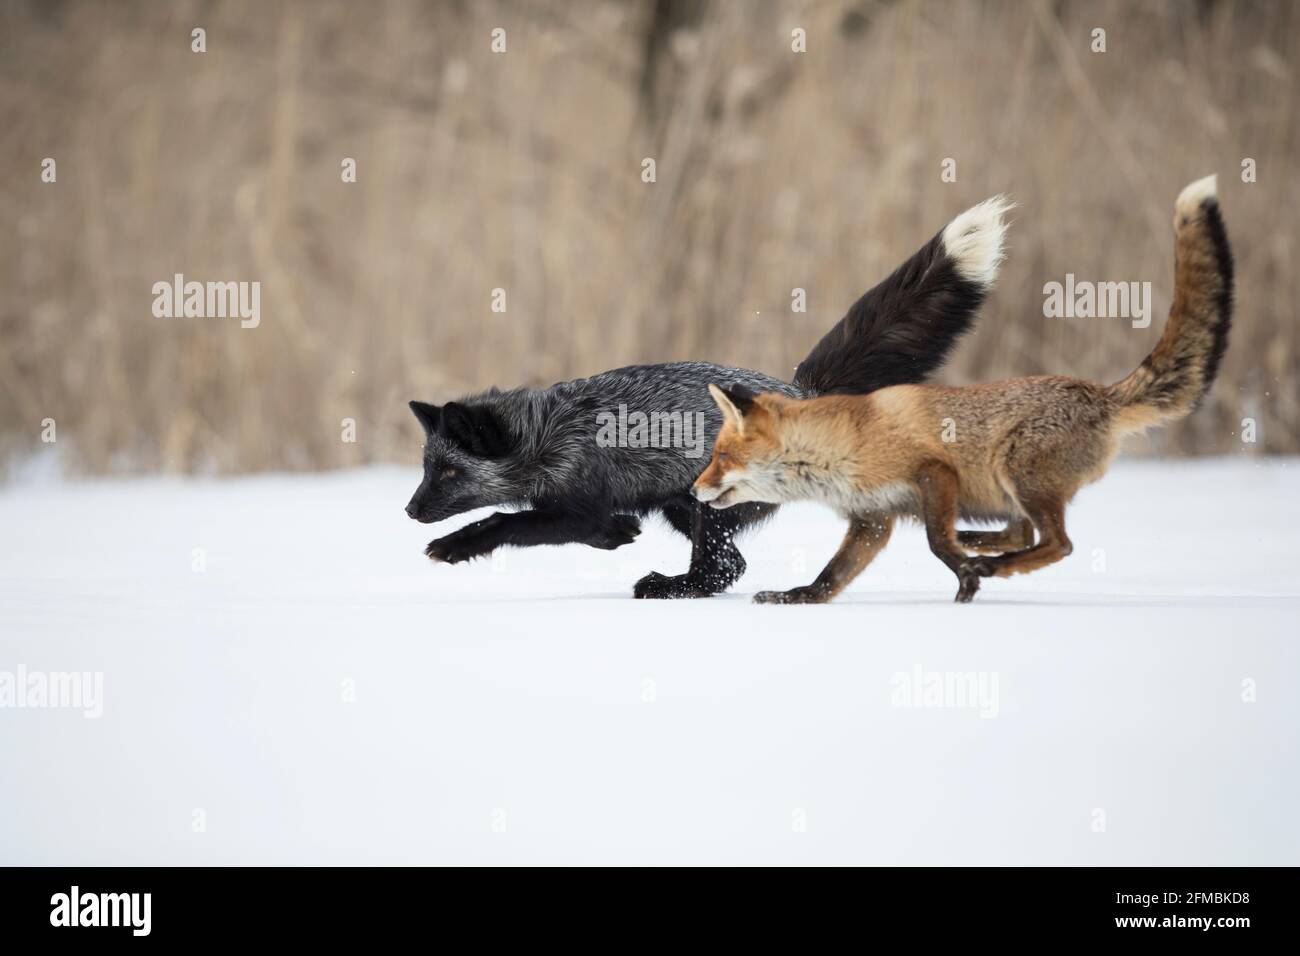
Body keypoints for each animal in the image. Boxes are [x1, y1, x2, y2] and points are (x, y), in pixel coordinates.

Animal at [404, 195, 1012, 598]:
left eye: (450, 472)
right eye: (428, 467)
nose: (410, 510)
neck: (549, 431)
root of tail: (795, 392)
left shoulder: (579, 503)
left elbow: (505, 523)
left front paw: (455, 545)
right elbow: (586, 528)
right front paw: (618, 536)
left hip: (707, 507)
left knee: (724, 570)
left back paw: (668, 587)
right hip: (684, 506)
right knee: (727, 567)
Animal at [693, 175, 1232, 604]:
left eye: (720, 457)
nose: (694, 490)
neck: (838, 447)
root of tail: (1100, 392)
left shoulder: (934, 473)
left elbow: (935, 541)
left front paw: (967, 582)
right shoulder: (875, 518)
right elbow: (833, 574)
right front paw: (797, 597)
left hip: (1016, 471)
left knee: (1057, 542)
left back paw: (990, 562)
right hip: (1005, 488)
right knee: (1024, 531)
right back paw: (979, 544)